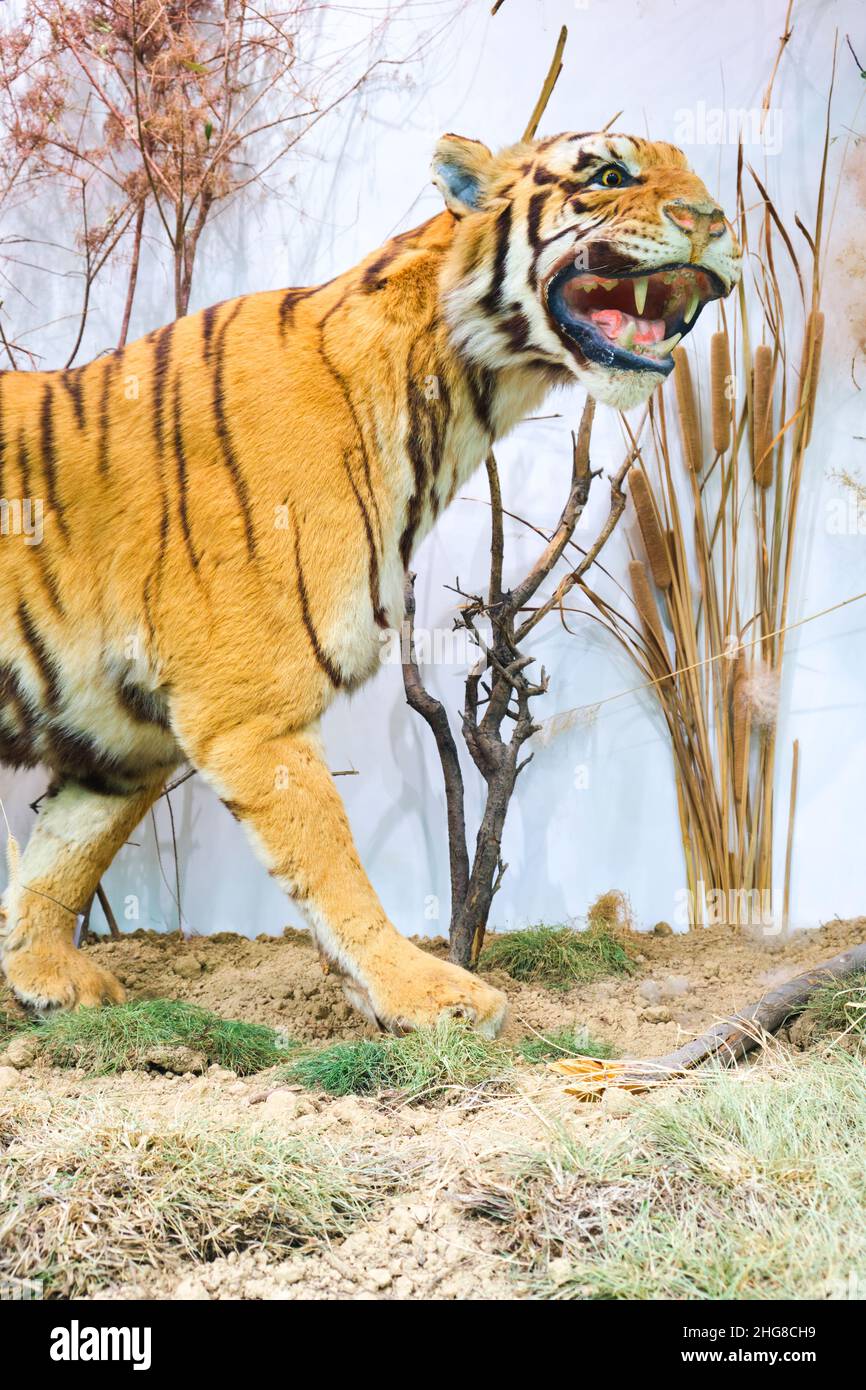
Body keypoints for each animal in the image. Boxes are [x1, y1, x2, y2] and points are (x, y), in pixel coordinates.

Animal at [0, 131, 741, 1033]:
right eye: (607, 174)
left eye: (696, 176)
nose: (711, 219)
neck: (458, 401)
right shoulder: (253, 714)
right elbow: (333, 865)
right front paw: (426, 992)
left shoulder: (122, 739)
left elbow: (63, 857)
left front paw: (43, 974)